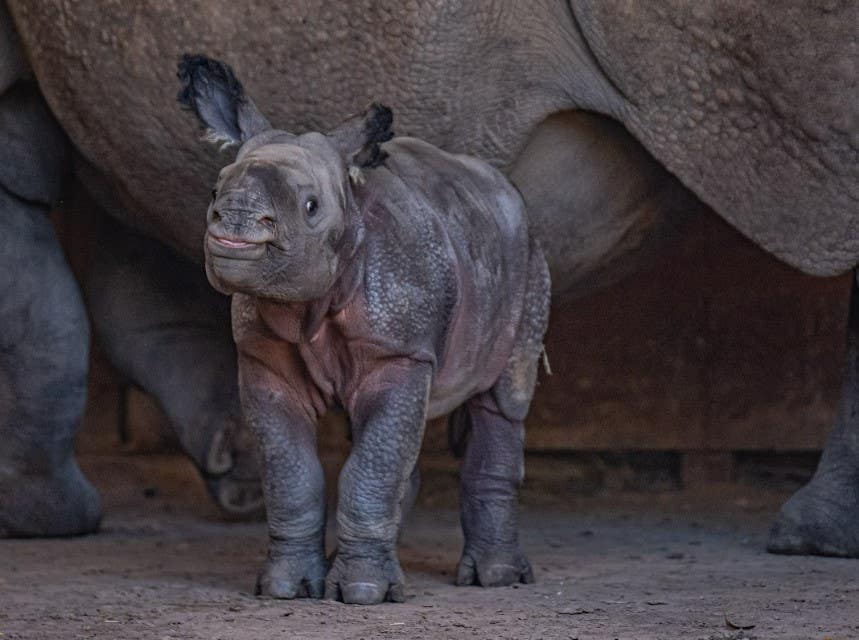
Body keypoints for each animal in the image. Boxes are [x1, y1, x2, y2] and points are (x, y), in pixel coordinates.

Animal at [0, 1, 856, 563]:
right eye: (218, 196)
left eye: (313, 204)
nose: (237, 226)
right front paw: (239, 476)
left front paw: (36, 522)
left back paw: (805, 541)